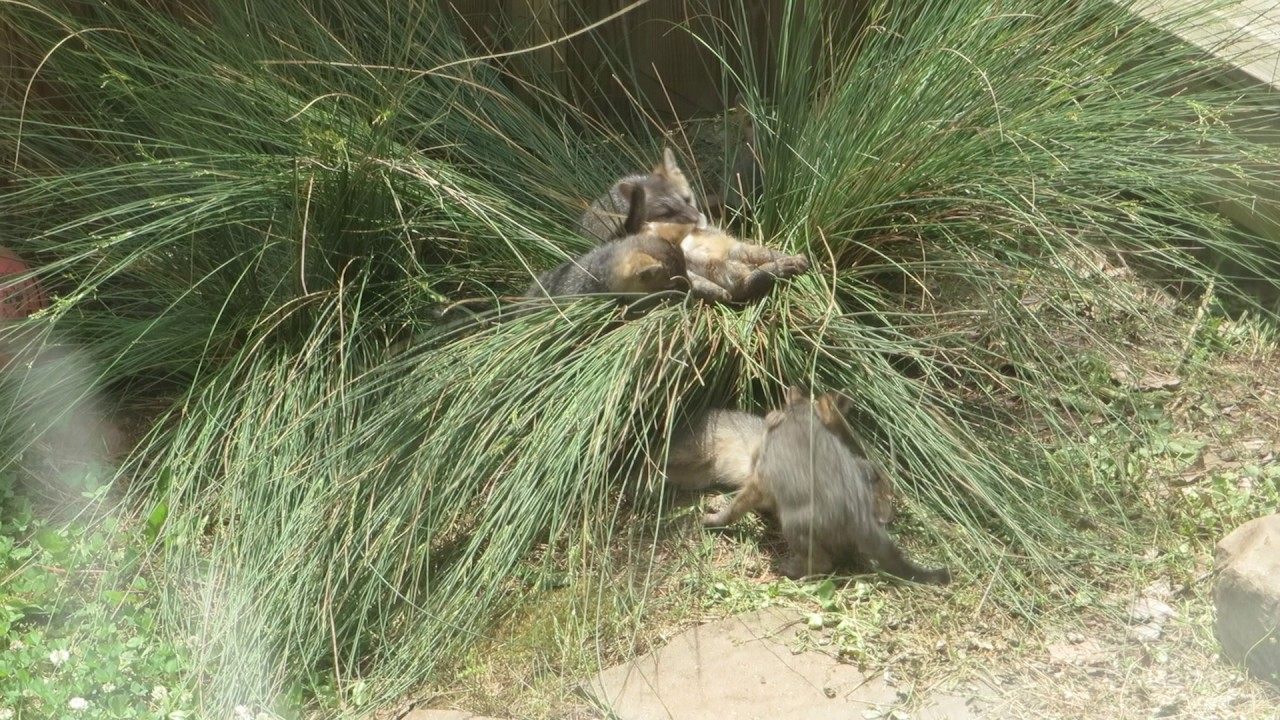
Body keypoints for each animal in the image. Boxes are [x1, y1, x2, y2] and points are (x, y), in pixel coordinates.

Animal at [704, 387, 950, 584]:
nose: (771, 416)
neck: (802, 417)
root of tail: (860, 518)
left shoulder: (760, 479)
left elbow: (734, 508)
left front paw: (714, 519)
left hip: (793, 525)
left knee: (823, 563)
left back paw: (792, 570)